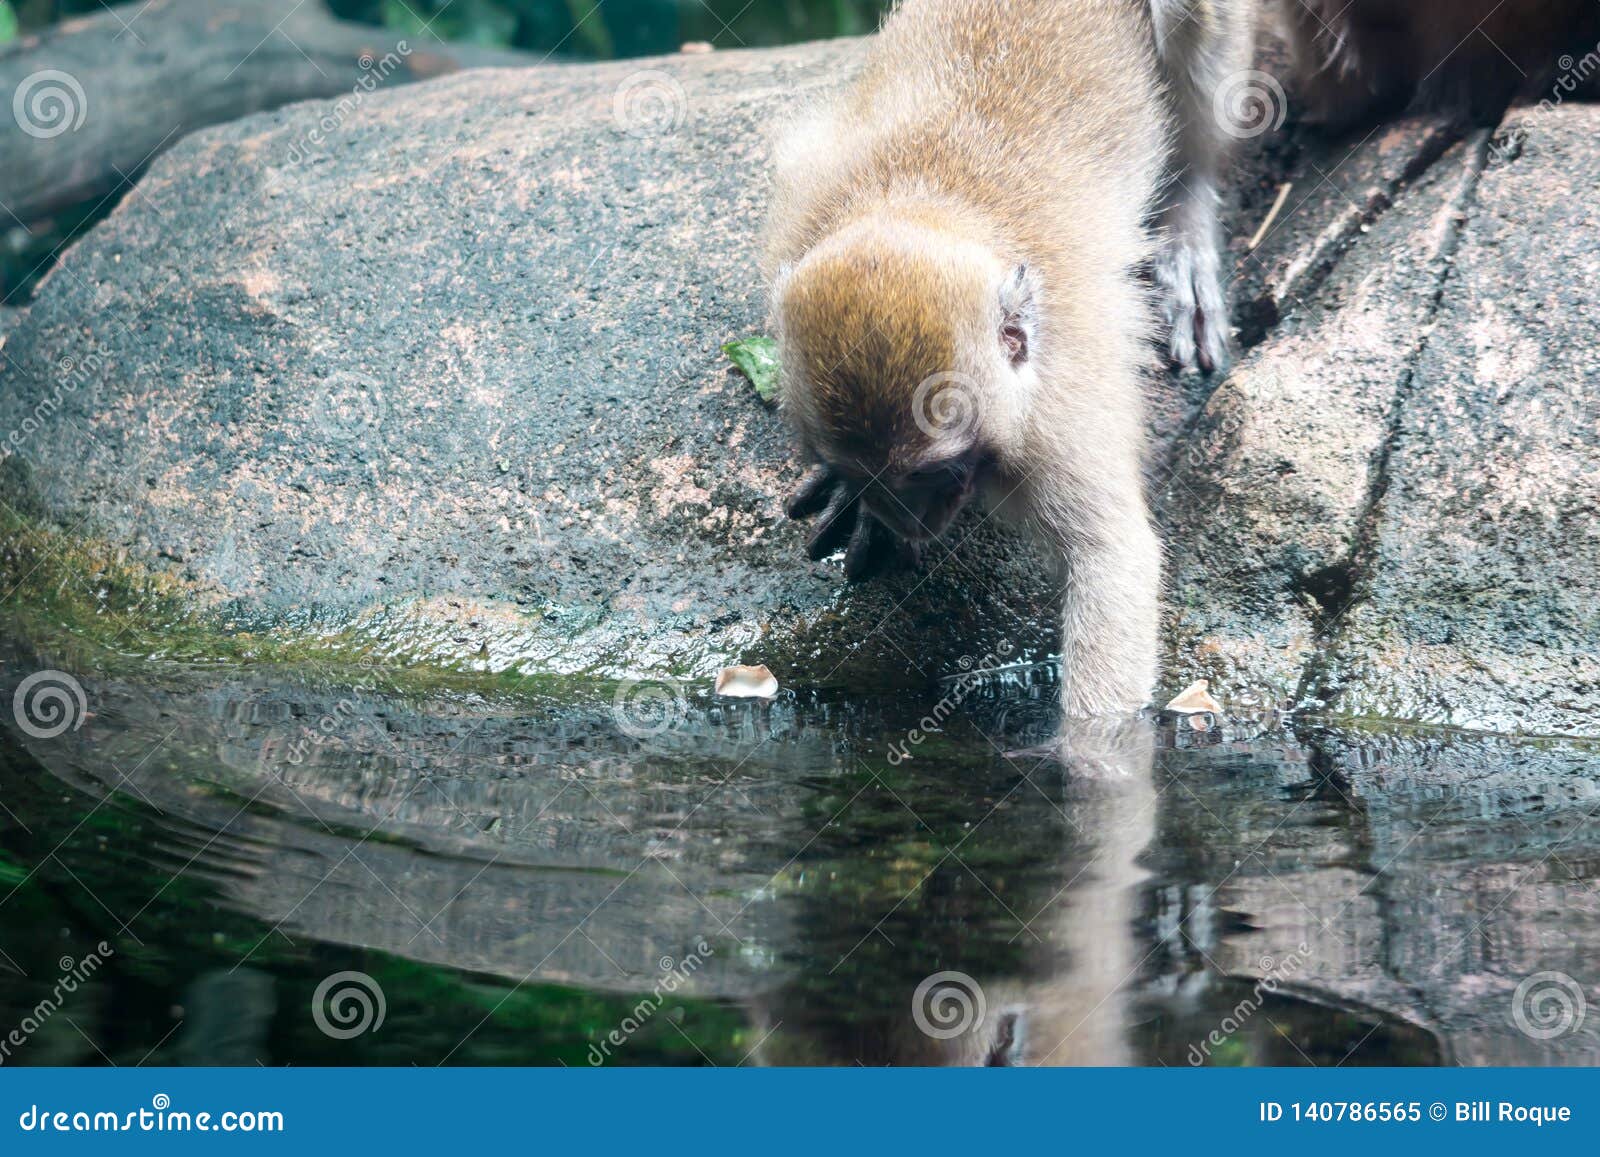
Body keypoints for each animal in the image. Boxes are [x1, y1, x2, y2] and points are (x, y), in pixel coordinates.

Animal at [764, 1, 1256, 718]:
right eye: (865, 473)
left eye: (931, 470)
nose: (910, 521)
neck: (929, 206)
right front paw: (857, 509)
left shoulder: (1058, 409)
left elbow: (1113, 556)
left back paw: (1187, 216)